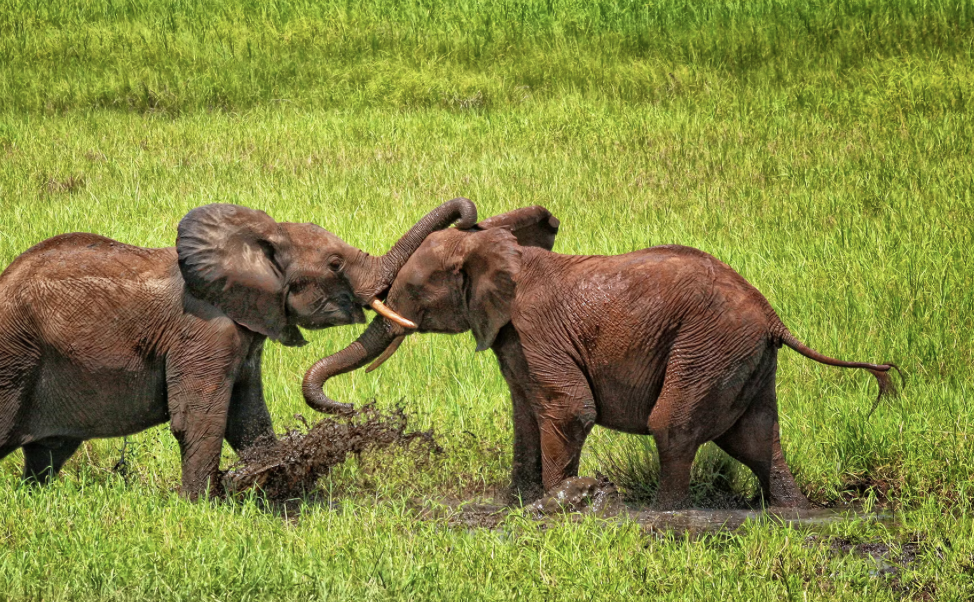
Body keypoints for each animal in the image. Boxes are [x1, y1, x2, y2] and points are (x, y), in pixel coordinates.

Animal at [0, 198, 477, 498]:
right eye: (335, 264)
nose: (467, 221)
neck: (259, 245)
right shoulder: (204, 330)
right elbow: (200, 419)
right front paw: (200, 508)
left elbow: (247, 418)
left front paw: (276, 489)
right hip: (14, 356)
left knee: (47, 454)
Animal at [301, 206, 900, 509]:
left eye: (408, 289)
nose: (352, 411)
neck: (503, 253)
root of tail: (773, 316)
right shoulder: (512, 339)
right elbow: (526, 415)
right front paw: (516, 504)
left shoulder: (536, 331)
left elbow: (568, 411)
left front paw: (553, 504)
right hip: (742, 357)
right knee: (757, 441)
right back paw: (791, 515)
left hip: (708, 346)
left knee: (673, 427)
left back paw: (665, 516)